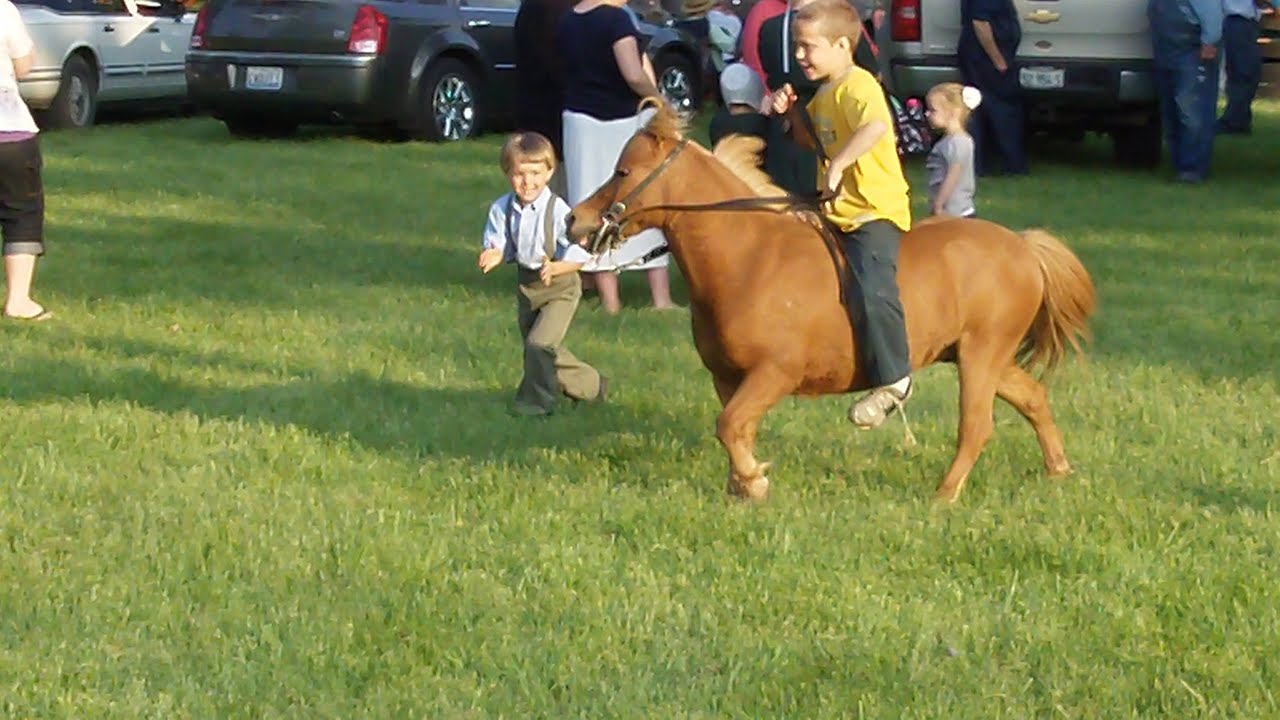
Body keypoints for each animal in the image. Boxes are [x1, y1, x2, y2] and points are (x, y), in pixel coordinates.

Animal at [566, 103, 1097, 503]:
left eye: (623, 170)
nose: (575, 219)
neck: (749, 256)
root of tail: (1023, 246)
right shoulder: (728, 377)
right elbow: (736, 429)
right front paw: (745, 484)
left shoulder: (774, 373)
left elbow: (729, 425)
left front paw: (754, 480)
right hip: (983, 355)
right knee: (1033, 397)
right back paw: (1059, 470)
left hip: (981, 355)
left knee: (977, 425)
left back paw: (944, 494)